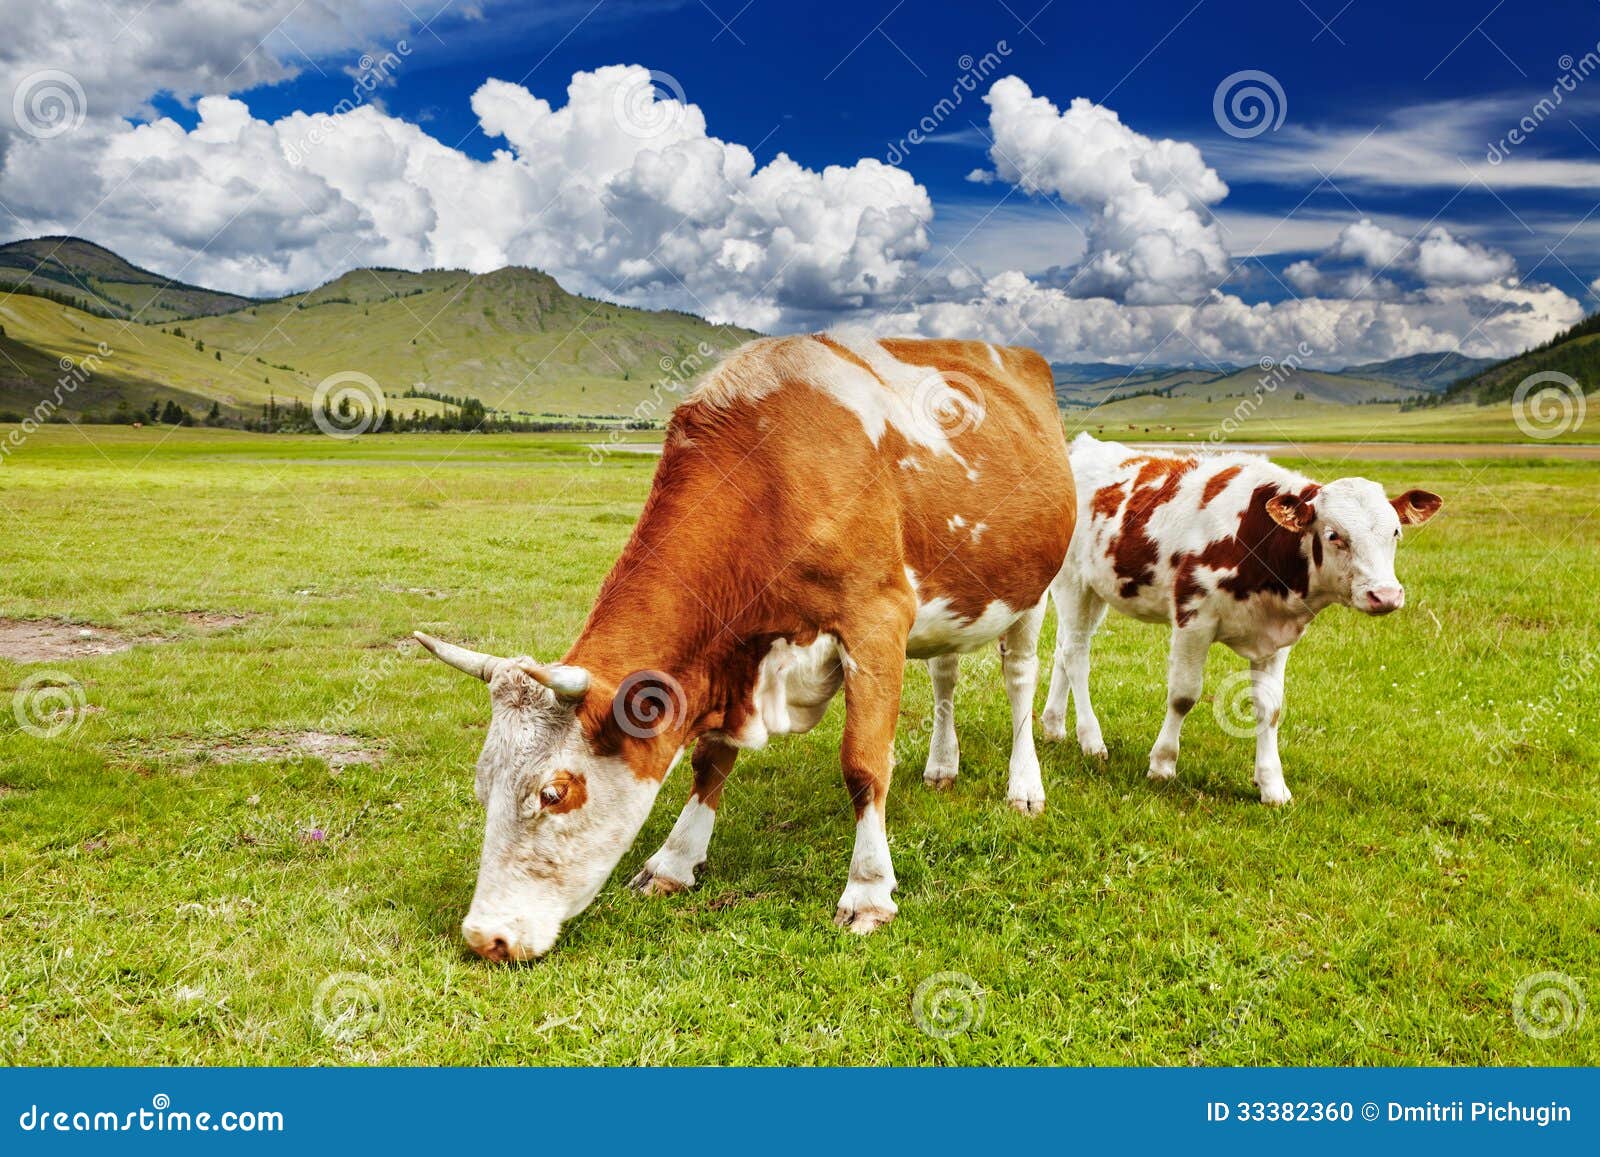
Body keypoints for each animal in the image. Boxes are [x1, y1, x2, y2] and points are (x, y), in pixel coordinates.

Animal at [415, 333, 1076, 961]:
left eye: (554, 792)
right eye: (483, 785)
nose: (485, 937)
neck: (772, 480)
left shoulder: (877, 617)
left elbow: (863, 764)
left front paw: (868, 891)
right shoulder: (733, 659)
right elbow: (709, 761)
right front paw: (673, 861)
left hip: (1033, 589)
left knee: (1019, 678)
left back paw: (1024, 786)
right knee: (945, 676)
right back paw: (942, 767)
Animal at [1040, 433, 1441, 805]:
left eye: (1395, 532)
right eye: (1334, 535)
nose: (1385, 595)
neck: (1258, 539)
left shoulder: (1277, 636)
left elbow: (1270, 708)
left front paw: (1272, 785)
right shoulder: (1193, 618)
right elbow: (1183, 695)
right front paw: (1163, 764)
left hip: (1093, 589)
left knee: (1064, 649)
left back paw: (1054, 726)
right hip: (1073, 582)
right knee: (1076, 656)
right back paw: (1091, 739)